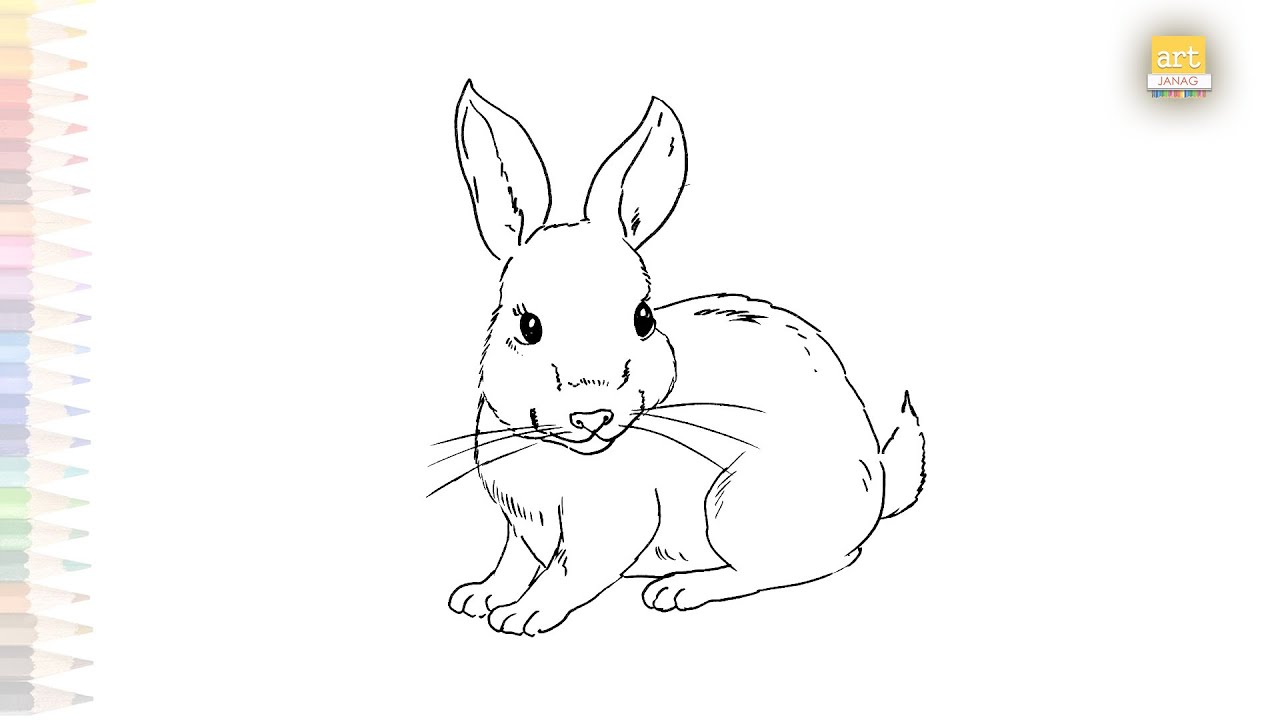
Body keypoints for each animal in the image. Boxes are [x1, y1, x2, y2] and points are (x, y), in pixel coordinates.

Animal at [440, 80, 926, 636]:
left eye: (643, 319)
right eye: (528, 326)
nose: (594, 415)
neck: (559, 453)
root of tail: (878, 490)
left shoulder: (609, 526)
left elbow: (568, 573)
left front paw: (523, 616)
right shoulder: (519, 526)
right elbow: (512, 562)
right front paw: (477, 597)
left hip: (739, 507)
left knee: (789, 568)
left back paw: (678, 589)